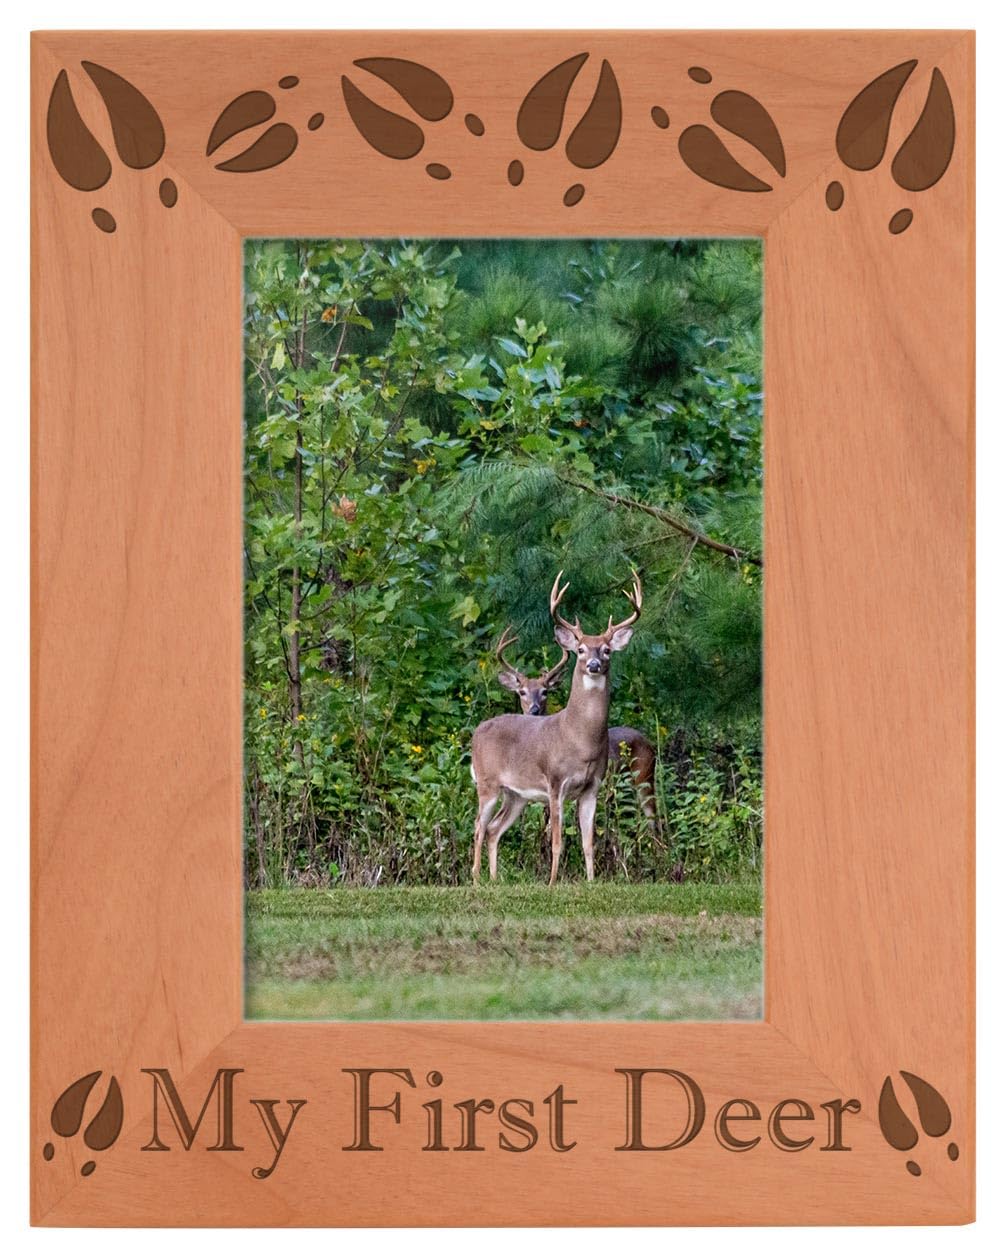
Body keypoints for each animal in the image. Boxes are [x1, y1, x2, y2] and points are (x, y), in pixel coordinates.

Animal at [470, 570, 642, 885]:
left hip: (516, 794)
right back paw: (476, 879)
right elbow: (557, 841)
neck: (579, 739)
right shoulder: (555, 782)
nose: (594, 664)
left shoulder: (592, 786)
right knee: (478, 826)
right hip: (487, 783)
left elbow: (588, 842)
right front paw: (551, 883)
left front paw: (591, 882)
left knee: (494, 829)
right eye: (581, 649)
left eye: (607, 650)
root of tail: (478, 731)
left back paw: (495, 879)